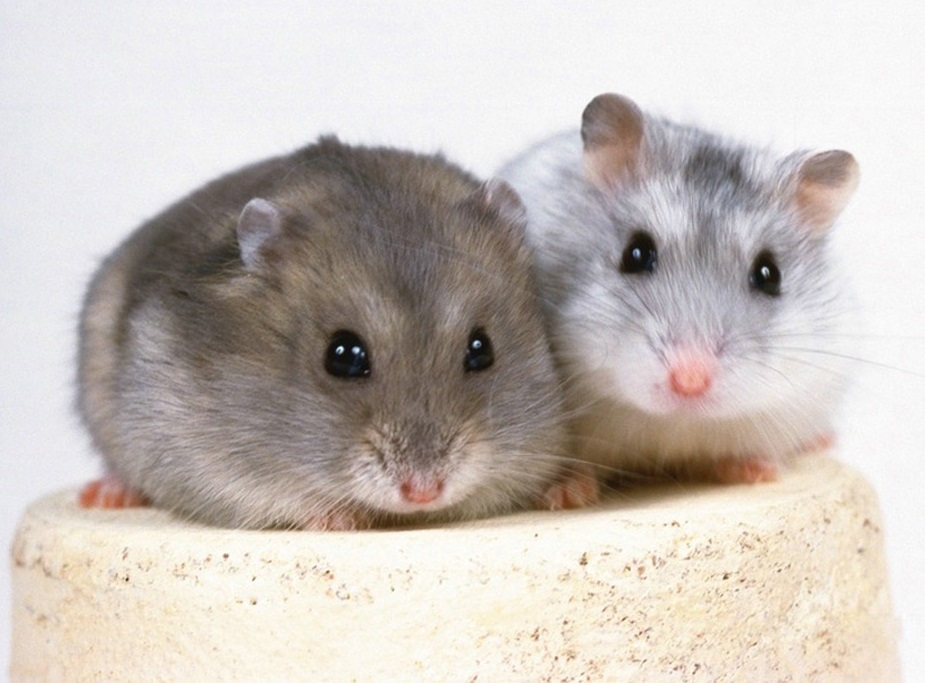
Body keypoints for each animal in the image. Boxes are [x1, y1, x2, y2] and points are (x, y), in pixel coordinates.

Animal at [77, 136, 595, 531]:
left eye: (481, 350)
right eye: (343, 356)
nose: (423, 491)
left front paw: (571, 492)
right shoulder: (205, 462)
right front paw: (342, 519)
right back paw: (105, 495)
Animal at [499, 93, 859, 484]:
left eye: (769, 275)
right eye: (636, 253)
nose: (689, 381)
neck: (672, 420)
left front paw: (759, 472)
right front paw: (567, 491)